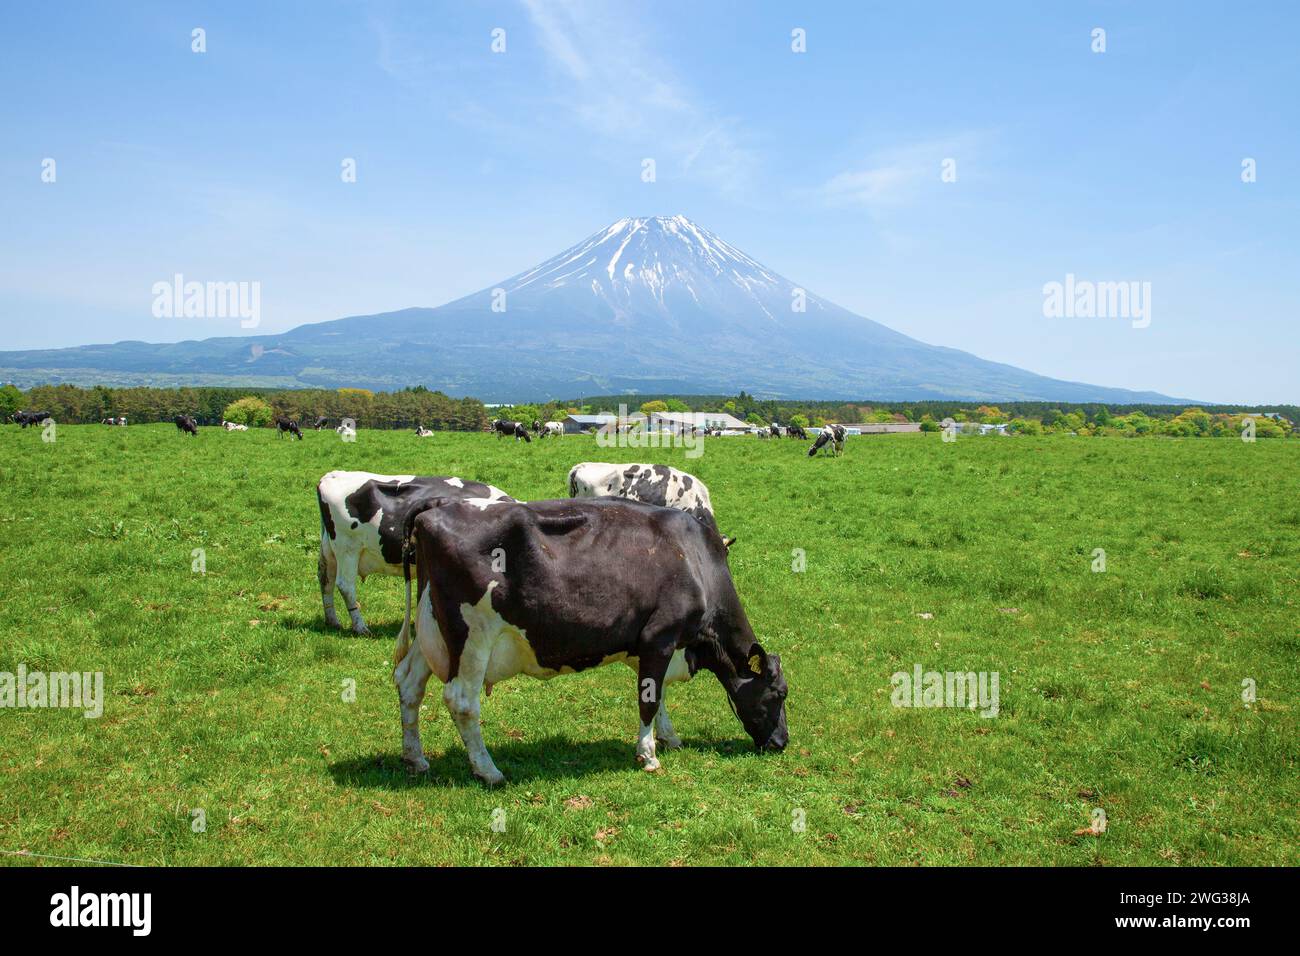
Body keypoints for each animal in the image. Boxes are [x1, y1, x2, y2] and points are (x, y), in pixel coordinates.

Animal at [316, 470, 514, 635]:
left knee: (325, 578)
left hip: (330, 549)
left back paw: (332, 621)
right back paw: (360, 627)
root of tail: (331, 475)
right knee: (345, 585)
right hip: (348, 547)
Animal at [394, 497, 788, 784]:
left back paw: (415, 759)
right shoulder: (660, 636)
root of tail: (435, 506)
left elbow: (657, 693)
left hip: (431, 630)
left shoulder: (653, 648)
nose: (782, 743)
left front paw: (669, 738)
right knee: (461, 700)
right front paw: (648, 755)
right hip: (473, 637)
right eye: (779, 694)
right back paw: (488, 770)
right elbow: (649, 700)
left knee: (409, 682)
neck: (696, 561)